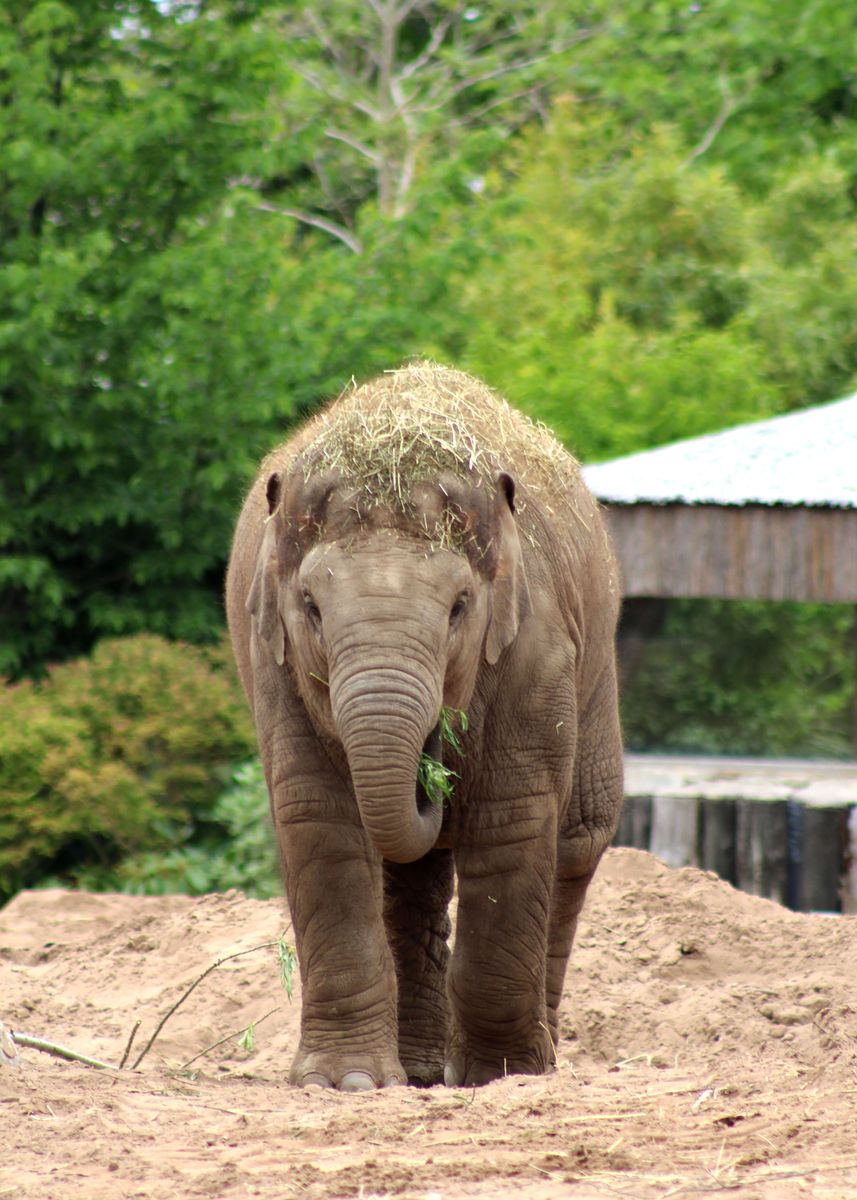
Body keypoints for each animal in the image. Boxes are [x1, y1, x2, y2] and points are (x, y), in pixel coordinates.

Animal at [225, 362, 623, 1091]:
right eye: (311, 605)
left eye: (461, 605)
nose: (433, 758)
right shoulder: (274, 668)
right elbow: (318, 819)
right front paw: (345, 1083)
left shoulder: (537, 649)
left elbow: (511, 818)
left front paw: (496, 1076)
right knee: (411, 875)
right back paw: (416, 1071)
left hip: (597, 666)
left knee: (577, 840)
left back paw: (536, 1059)